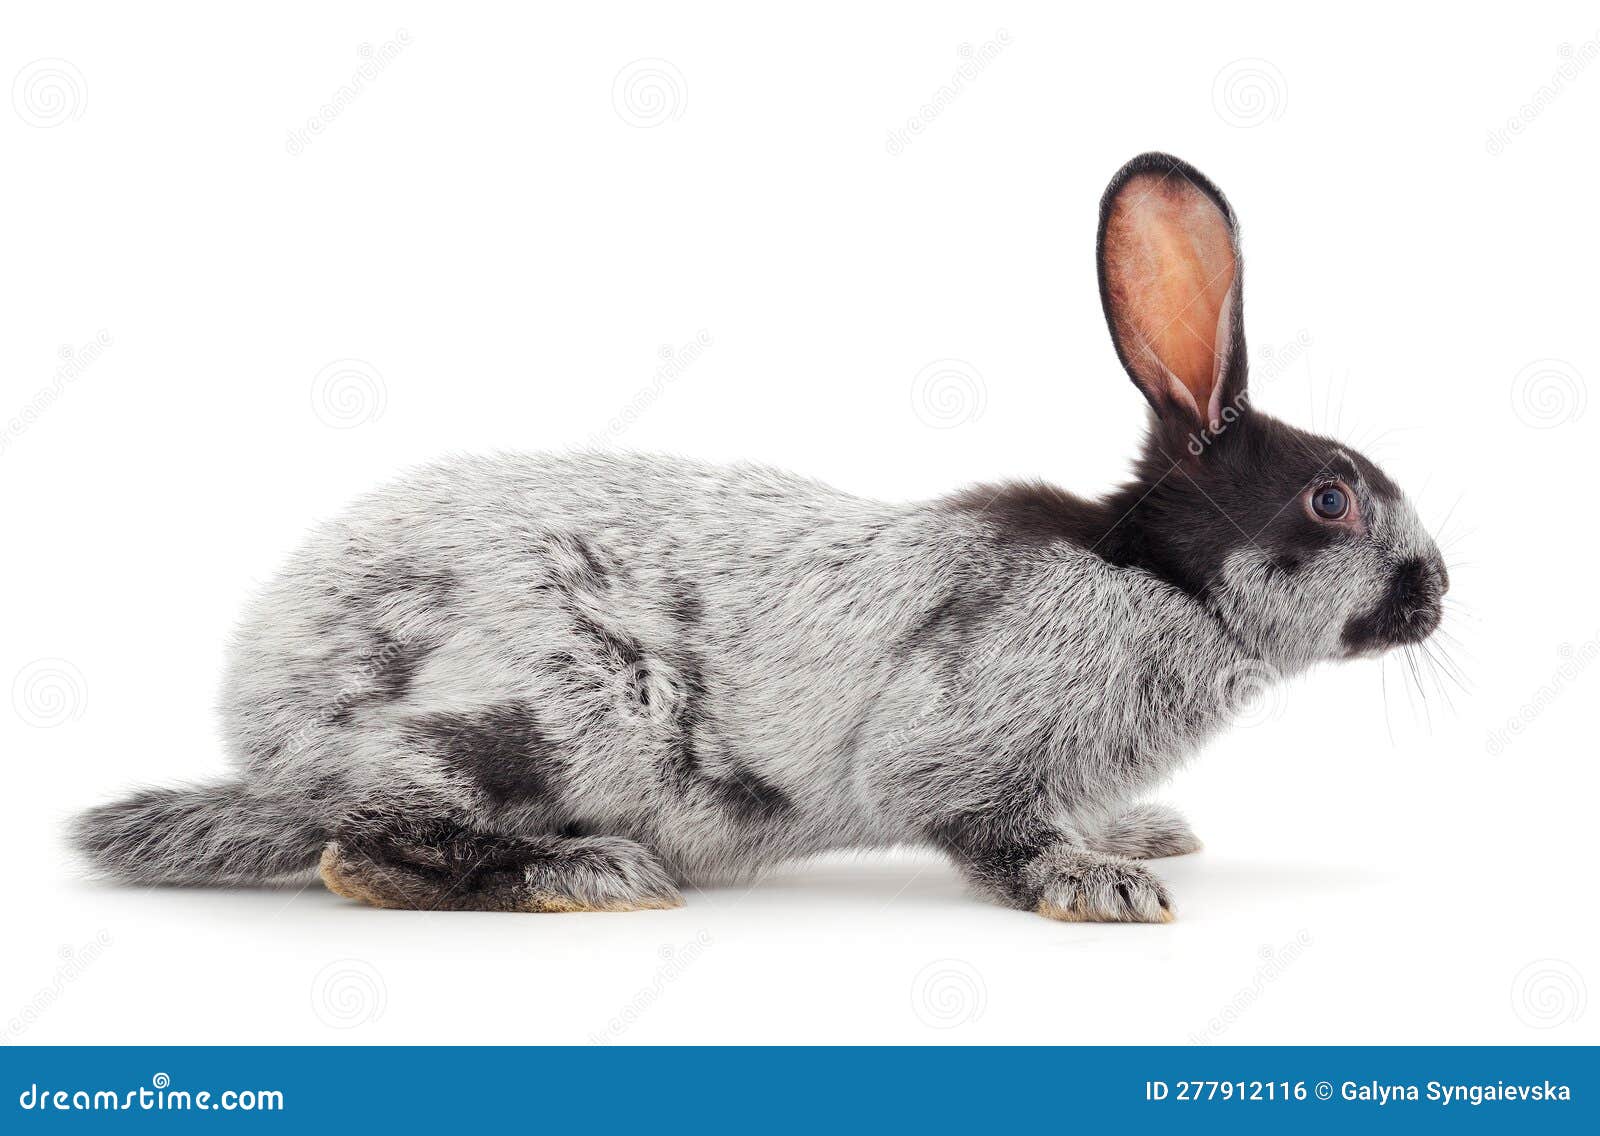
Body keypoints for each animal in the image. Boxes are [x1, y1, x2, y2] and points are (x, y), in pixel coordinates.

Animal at [72, 153, 1448, 922]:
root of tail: (273, 734)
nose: (1435, 592)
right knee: (366, 848)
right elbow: (990, 828)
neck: (1160, 583)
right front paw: (1100, 887)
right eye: (1331, 497)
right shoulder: (958, 743)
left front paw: (1140, 833)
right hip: (562, 707)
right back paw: (589, 875)